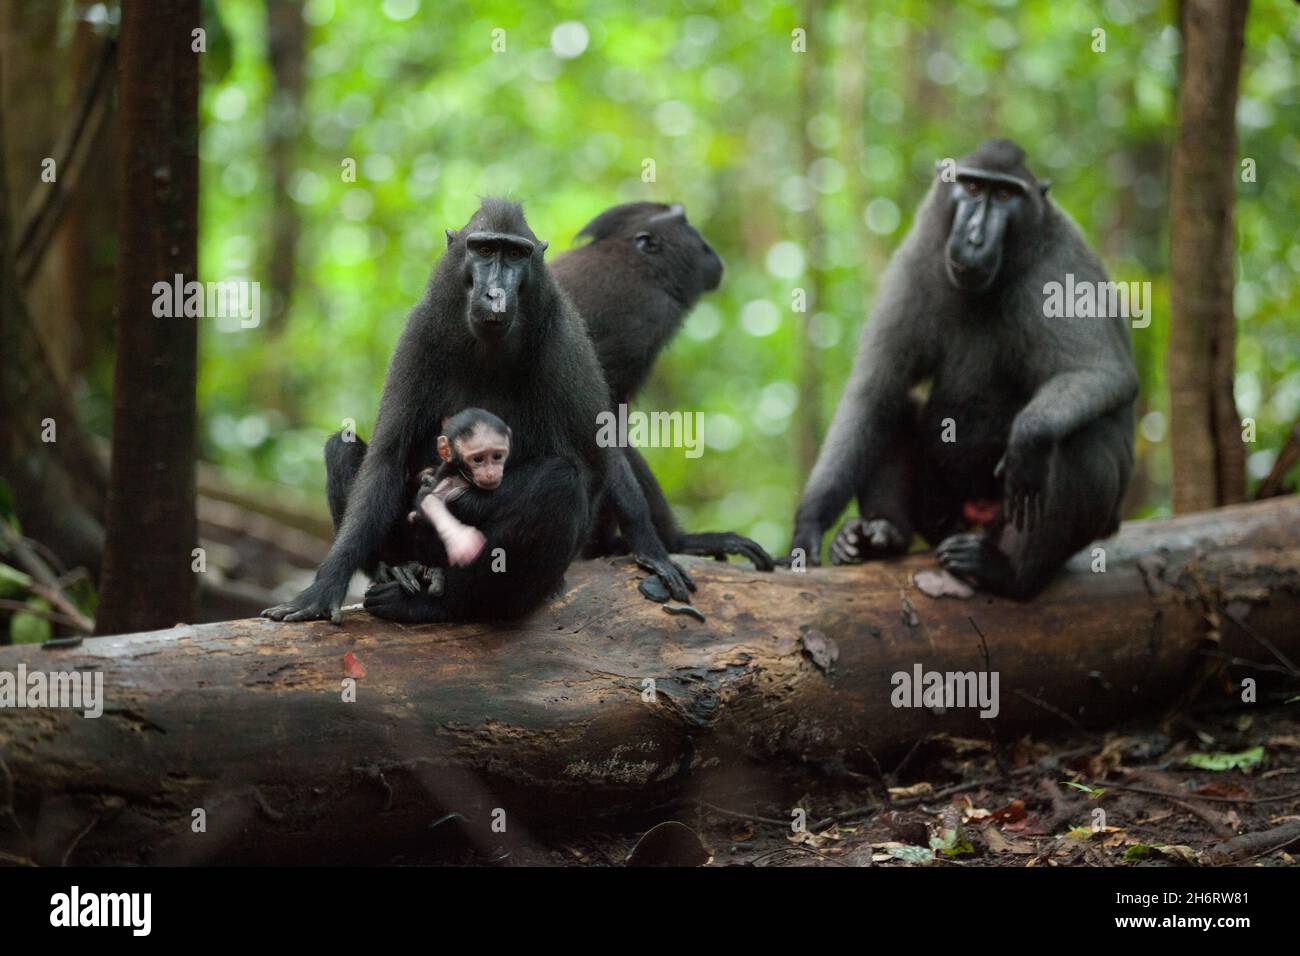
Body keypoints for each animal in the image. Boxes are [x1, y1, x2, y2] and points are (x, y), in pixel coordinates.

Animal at [406, 408, 512, 568]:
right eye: (478, 459)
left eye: (497, 456)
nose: (491, 473)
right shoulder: (451, 480)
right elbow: (431, 500)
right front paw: (460, 540)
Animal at [551, 202, 775, 571]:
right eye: (684, 223)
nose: (708, 245)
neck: (643, 266)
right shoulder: (646, 317)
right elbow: (601, 425)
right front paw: (652, 545)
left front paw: (671, 543)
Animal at [789, 139, 1137, 599]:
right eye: (971, 187)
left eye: (1005, 195)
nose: (974, 236)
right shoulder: (917, 261)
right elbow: (873, 392)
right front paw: (809, 524)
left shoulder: (1059, 269)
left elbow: (1102, 372)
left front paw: (1028, 437)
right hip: (942, 513)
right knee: (894, 405)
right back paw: (884, 536)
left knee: (1079, 439)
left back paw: (1008, 572)